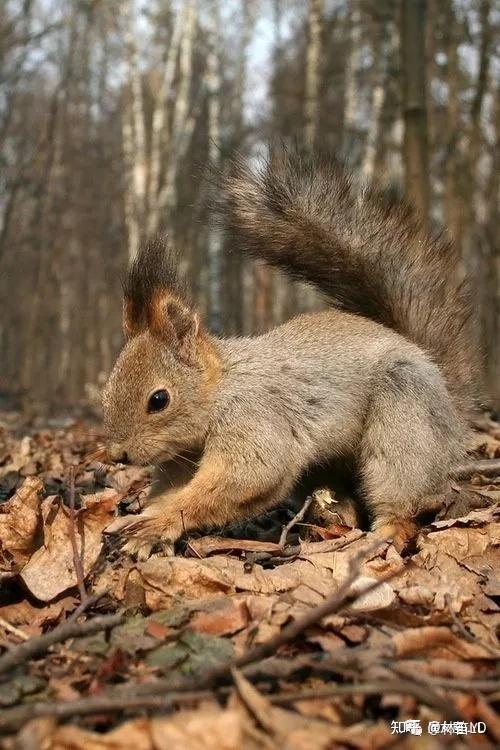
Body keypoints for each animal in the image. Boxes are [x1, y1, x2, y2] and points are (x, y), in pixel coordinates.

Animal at [103, 150, 479, 557]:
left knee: (402, 493)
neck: (222, 388)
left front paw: (157, 525)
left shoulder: (254, 418)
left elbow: (250, 475)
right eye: (105, 393)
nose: (118, 455)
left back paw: (384, 532)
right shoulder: (181, 456)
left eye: (159, 400)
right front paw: (139, 519)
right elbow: (170, 490)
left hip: (404, 419)